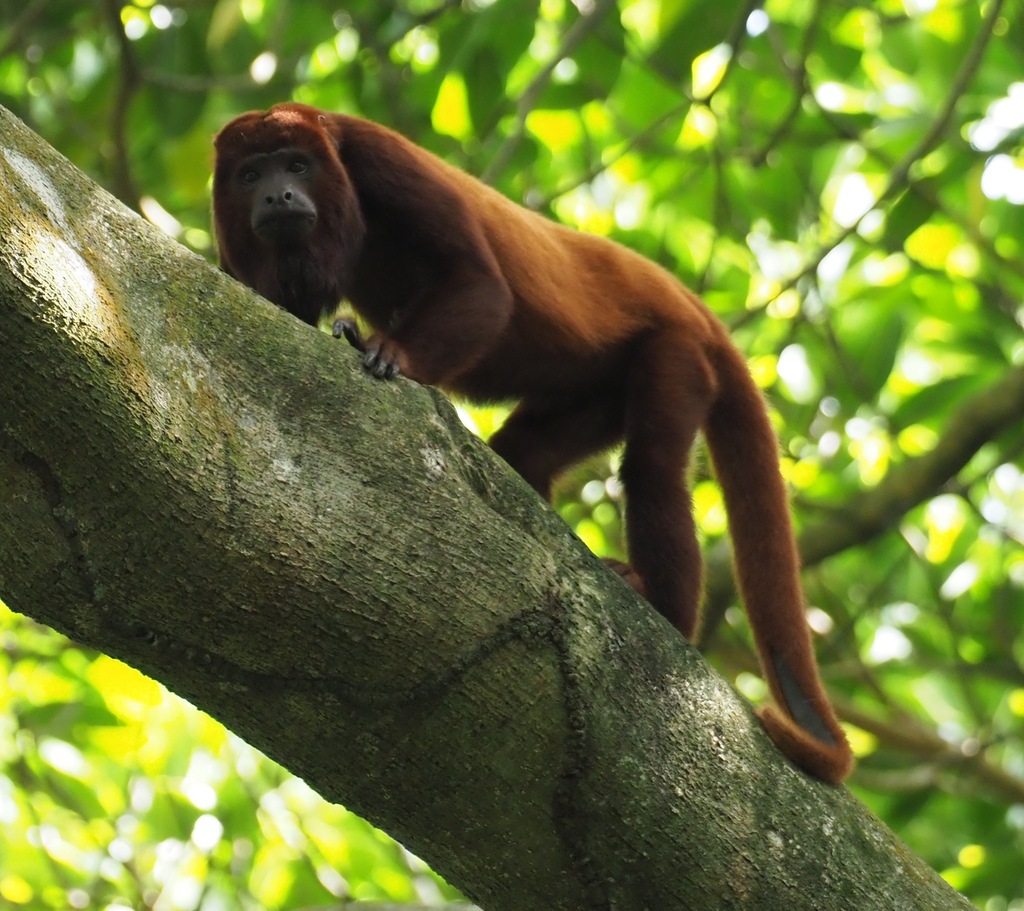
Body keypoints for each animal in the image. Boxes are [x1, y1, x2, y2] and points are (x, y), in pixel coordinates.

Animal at [212, 103, 853, 783]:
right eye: (250, 175)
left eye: (296, 164)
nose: (279, 194)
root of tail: (686, 300)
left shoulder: (377, 155)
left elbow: (481, 284)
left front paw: (392, 352)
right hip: (596, 389)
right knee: (525, 449)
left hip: (678, 351)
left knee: (652, 466)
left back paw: (665, 608)